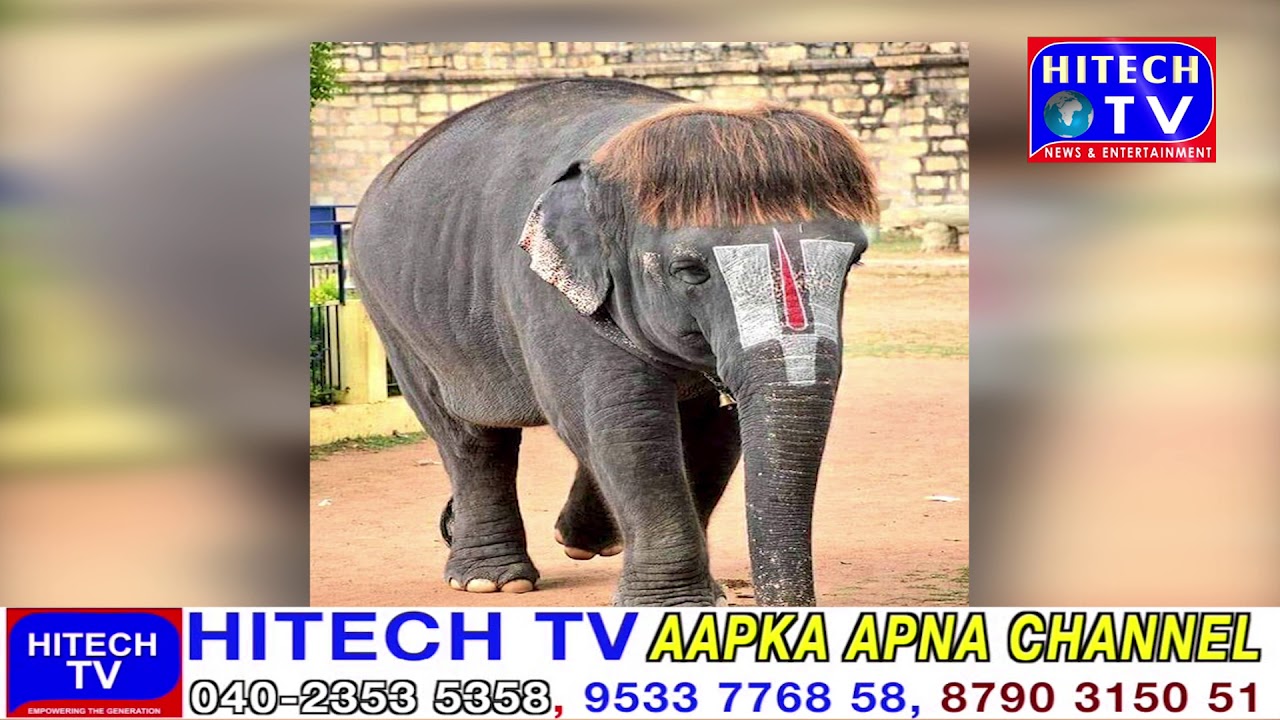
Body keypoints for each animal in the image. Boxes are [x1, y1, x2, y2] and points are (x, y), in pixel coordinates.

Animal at [350, 78, 876, 606]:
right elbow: (624, 420)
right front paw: (677, 606)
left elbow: (715, 428)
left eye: (855, 261)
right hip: (391, 315)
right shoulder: (544, 291)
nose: (784, 610)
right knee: (466, 435)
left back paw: (584, 540)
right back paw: (492, 581)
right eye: (690, 270)